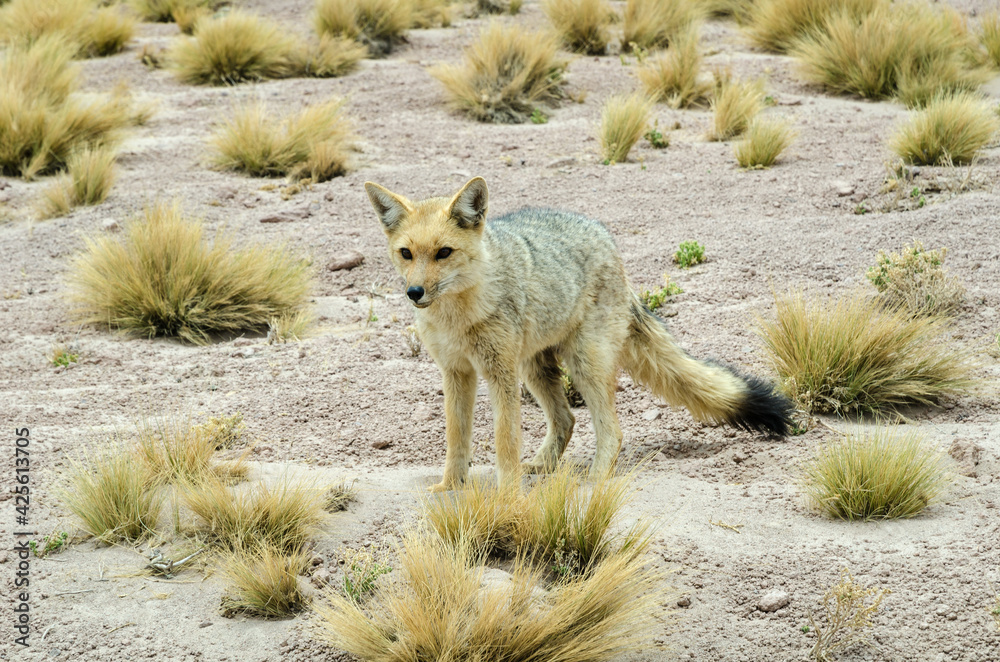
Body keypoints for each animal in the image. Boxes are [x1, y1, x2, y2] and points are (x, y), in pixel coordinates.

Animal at [364, 176, 794, 492]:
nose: (414, 292)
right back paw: (542, 465)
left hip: (583, 364)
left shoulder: (498, 374)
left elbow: (505, 441)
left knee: (612, 431)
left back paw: (596, 478)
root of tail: (606, 238)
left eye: (444, 253)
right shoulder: (456, 372)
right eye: (406, 254)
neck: (456, 316)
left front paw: (506, 495)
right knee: (567, 419)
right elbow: (456, 437)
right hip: (535, 369)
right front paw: (450, 487)